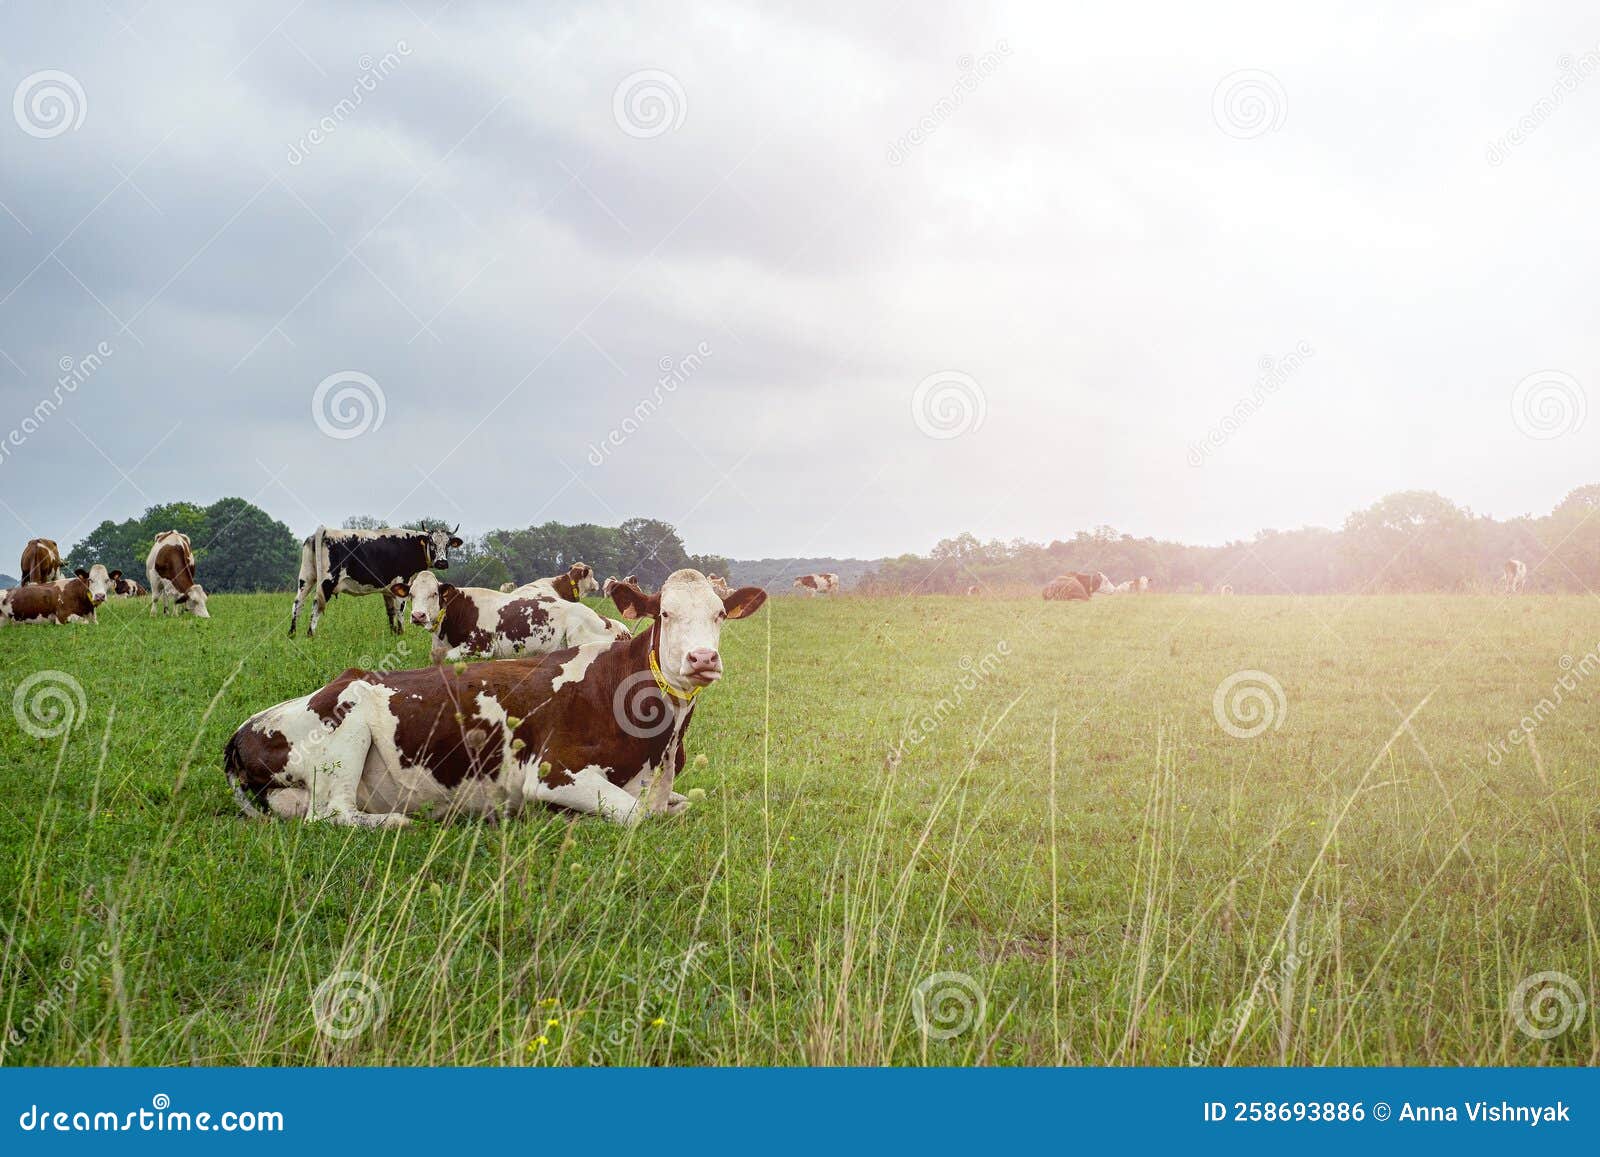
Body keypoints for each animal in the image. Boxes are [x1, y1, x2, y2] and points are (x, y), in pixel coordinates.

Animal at [290, 525, 460, 637]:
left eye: (447, 544)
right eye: (432, 542)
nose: (442, 562)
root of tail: (325, 530)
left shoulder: (389, 588)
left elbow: (390, 611)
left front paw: (393, 633)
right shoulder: (402, 581)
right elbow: (400, 610)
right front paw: (402, 633)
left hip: (306, 577)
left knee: (298, 603)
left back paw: (292, 634)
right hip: (327, 581)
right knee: (316, 605)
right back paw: (310, 634)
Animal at [406, 570, 630, 663]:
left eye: (434, 594)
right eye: (411, 594)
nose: (418, 615)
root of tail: (622, 629)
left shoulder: (481, 648)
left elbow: (444, 657)